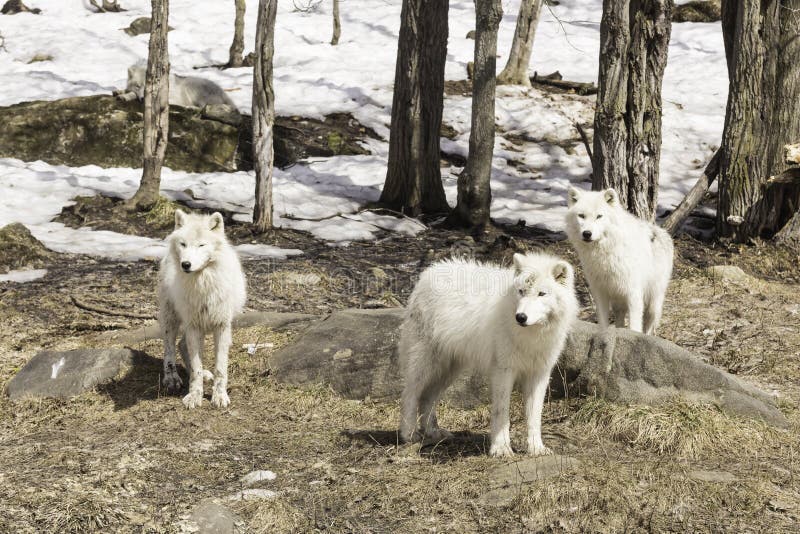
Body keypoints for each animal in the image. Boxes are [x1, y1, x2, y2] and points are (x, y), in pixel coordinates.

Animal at [159, 210, 247, 409]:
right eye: (183, 244)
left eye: (201, 245)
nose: (185, 264)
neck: (203, 282)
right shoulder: (193, 325)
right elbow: (196, 368)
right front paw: (194, 396)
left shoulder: (221, 326)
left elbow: (220, 368)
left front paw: (219, 396)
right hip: (171, 318)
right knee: (170, 347)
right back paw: (172, 379)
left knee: (181, 344)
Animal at [398, 252, 579, 457]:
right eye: (521, 291)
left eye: (542, 294)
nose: (520, 317)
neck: (532, 335)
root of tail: (429, 271)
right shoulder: (503, 370)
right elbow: (501, 412)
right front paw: (501, 448)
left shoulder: (539, 374)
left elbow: (534, 416)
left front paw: (536, 448)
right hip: (425, 364)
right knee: (410, 394)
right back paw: (409, 434)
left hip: (449, 371)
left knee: (427, 398)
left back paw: (433, 432)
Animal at [565, 187, 674, 335]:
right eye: (581, 216)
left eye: (599, 216)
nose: (587, 233)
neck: (605, 253)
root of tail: (662, 231)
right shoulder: (600, 293)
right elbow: (603, 323)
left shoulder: (633, 293)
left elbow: (634, 326)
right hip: (618, 302)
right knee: (620, 320)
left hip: (653, 302)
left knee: (648, 325)